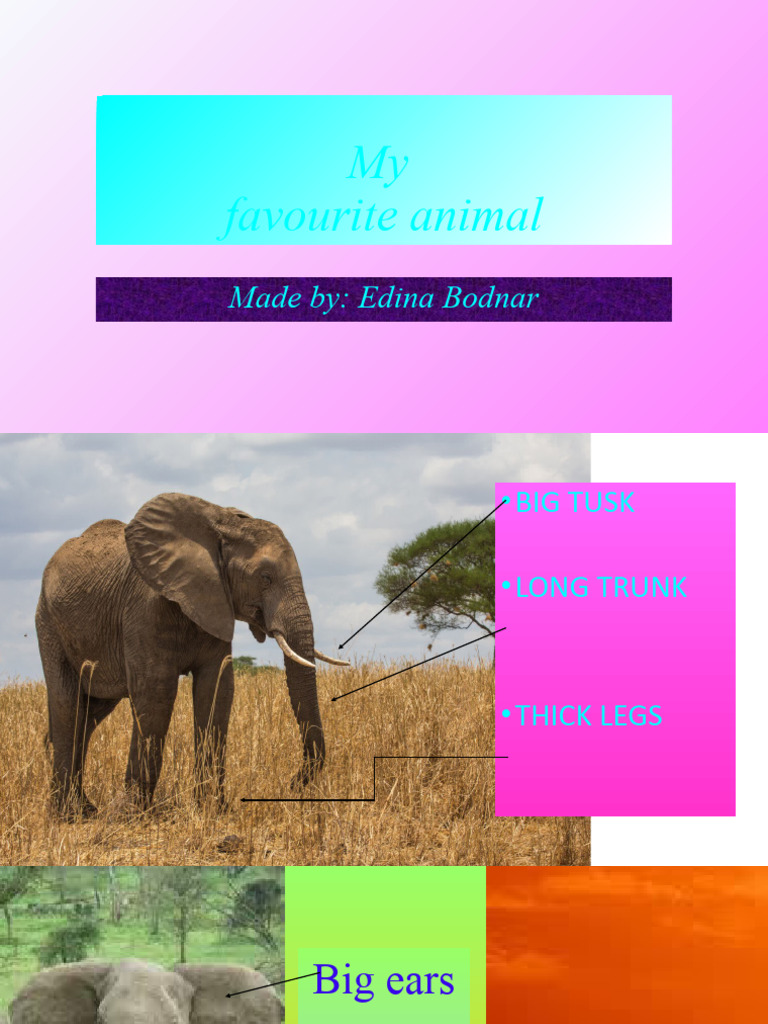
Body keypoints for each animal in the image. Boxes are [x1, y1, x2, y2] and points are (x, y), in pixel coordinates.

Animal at [36, 492, 349, 818]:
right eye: (265, 577)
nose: (292, 784)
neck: (221, 525)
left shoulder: (215, 604)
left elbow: (217, 690)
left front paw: (213, 809)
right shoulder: (144, 607)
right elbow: (155, 691)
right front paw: (129, 814)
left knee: (90, 713)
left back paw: (83, 808)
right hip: (49, 623)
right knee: (68, 705)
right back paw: (68, 814)